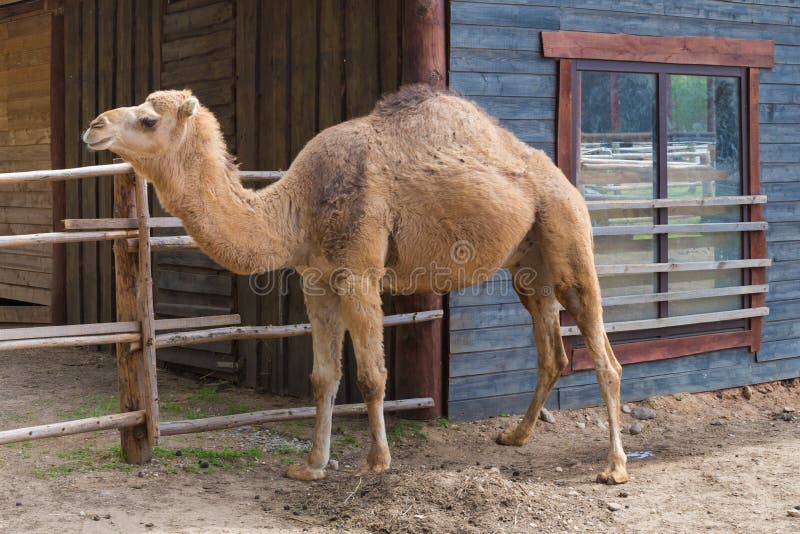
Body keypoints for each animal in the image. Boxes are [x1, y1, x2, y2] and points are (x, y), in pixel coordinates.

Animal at [82, 85, 628, 484]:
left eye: (149, 119)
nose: (94, 125)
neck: (297, 207)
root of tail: (565, 179)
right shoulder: (317, 279)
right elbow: (323, 376)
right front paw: (310, 466)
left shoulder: (360, 272)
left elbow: (371, 376)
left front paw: (376, 462)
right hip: (528, 265)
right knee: (552, 350)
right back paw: (515, 437)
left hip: (566, 233)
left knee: (605, 354)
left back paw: (614, 467)